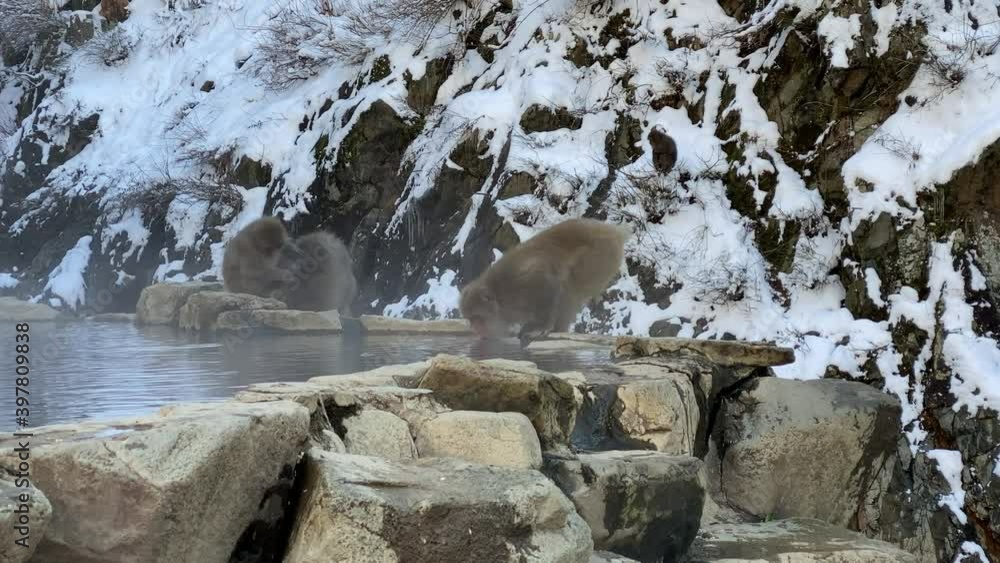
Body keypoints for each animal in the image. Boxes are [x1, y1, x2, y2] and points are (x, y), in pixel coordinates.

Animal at [460, 218, 631, 347]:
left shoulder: (522, 281)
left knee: (568, 285)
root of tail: (613, 231)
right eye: (470, 319)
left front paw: (538, 327)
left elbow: (548, 285)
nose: (475, 329)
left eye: (477, 318)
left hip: (599, 258)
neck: (500, 297)